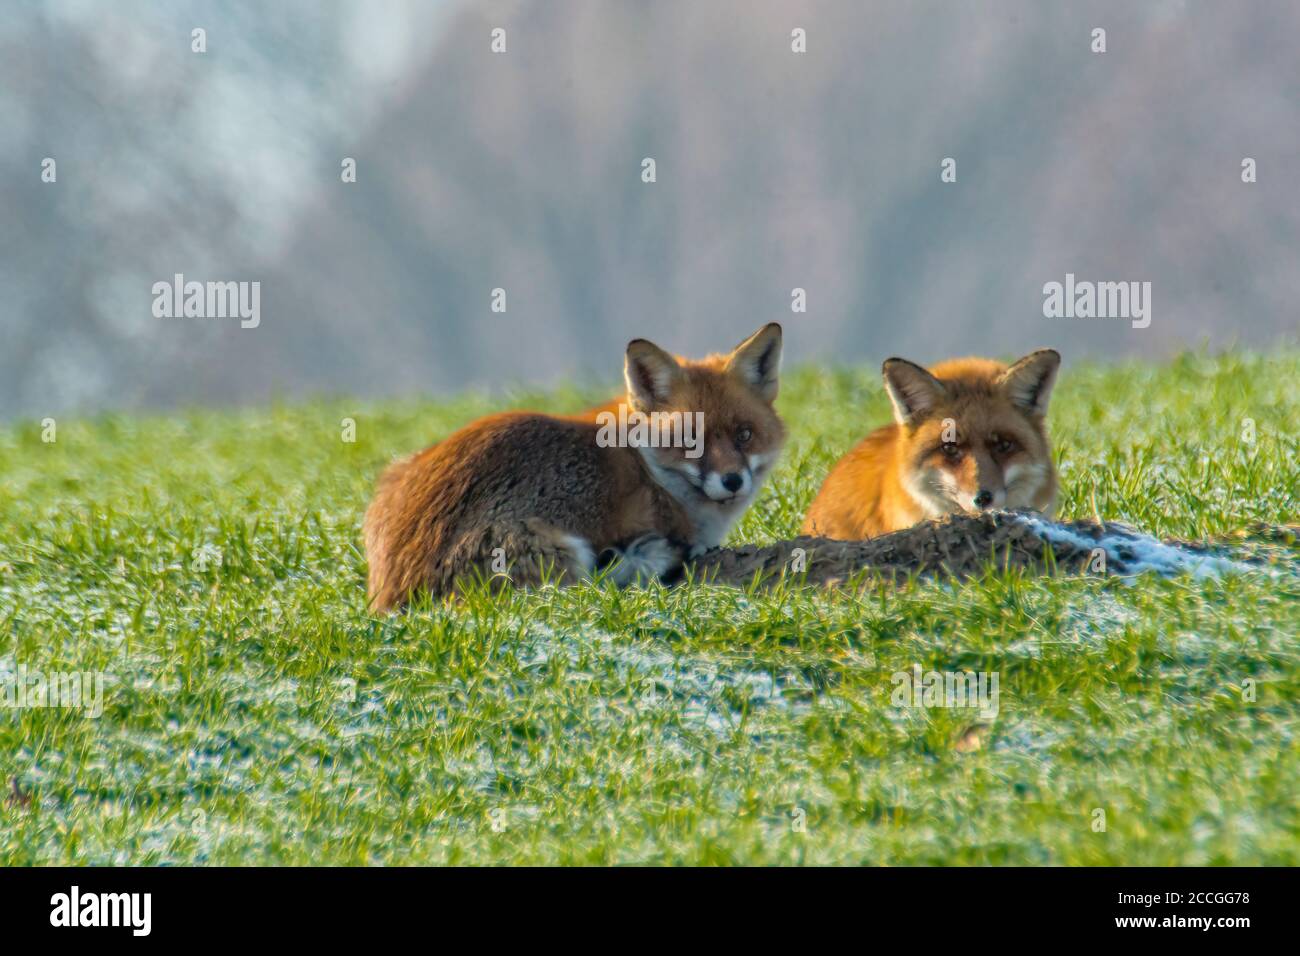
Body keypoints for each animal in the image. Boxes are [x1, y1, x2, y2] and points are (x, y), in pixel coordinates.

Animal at [363, 323, 785, 610]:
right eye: (691, 440)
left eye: (744, 435)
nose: (733, 481)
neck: (649, 469)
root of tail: (390, 598)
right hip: (558, 554)